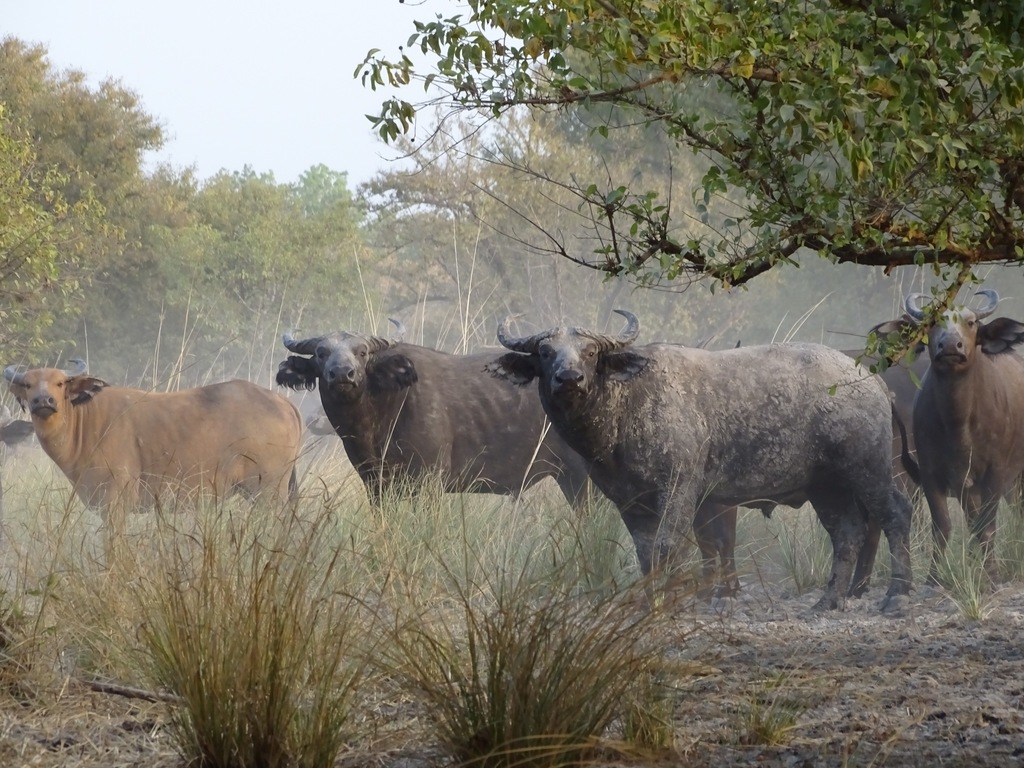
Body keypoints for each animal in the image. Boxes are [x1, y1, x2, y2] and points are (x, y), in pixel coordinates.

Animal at [4, 359, 303, 555]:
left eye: (60, 383)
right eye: (28, 384)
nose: (43, 401)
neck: (85, 422)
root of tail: (283, 402)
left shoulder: (116, 505)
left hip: (270, 493)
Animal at [275, 323, 593, 506]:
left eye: (362, 352)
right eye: (320, 353)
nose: (342, 374)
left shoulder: (428, 482)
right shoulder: (376, 486)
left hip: (581, 477)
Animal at [489, 310, 913, 611]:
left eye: (591, 352)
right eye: (545, 353)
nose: (570, 378)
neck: (626, 407)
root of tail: (871, 380)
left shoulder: (680, 488)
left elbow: (668, 545)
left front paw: (670, 601)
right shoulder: (628, 500)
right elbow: (645, 552)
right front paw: (650, 602)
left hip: (867, 469)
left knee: (895, 514)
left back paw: (897, 596)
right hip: (826, 486)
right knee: (848, 532)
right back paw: (829, 600)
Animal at [873, 288, 1024, 582]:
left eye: (971, 322)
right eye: (932, 323)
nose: (952, 346)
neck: (959, 422)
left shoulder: (995, 474)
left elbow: (988, 525)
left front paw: (991, 574)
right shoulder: (932, 475)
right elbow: (943, 526)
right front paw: (934, 576)